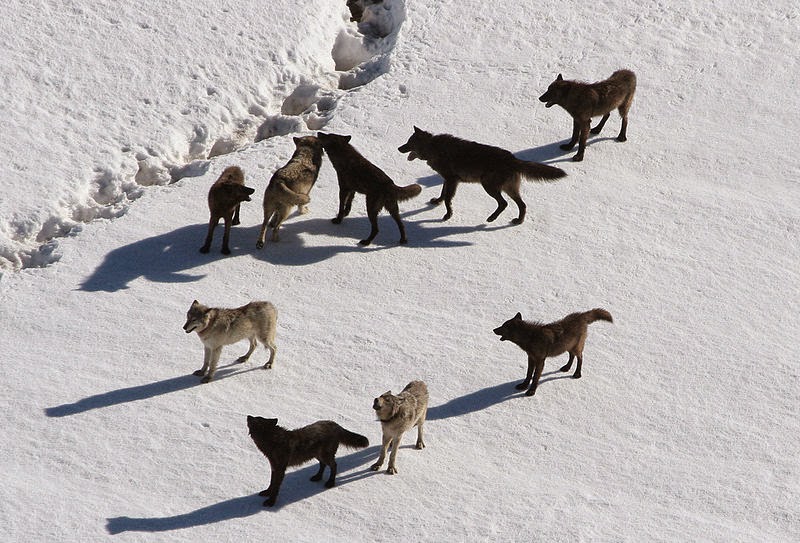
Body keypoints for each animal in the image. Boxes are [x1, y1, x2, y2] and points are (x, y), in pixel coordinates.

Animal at [398, 127, 566, 223]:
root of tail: (513, 159)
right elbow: (443, 194)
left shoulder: (452, 180)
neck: (433, 148)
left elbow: (447, 199)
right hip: (508, 189)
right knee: (522, 205)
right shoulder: (448, 179)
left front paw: (448, 215)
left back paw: (492, 218)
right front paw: (437, 202)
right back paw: (518, 221)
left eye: (409, 143)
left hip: (489, 186)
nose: (399, 148)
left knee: (504, 203)